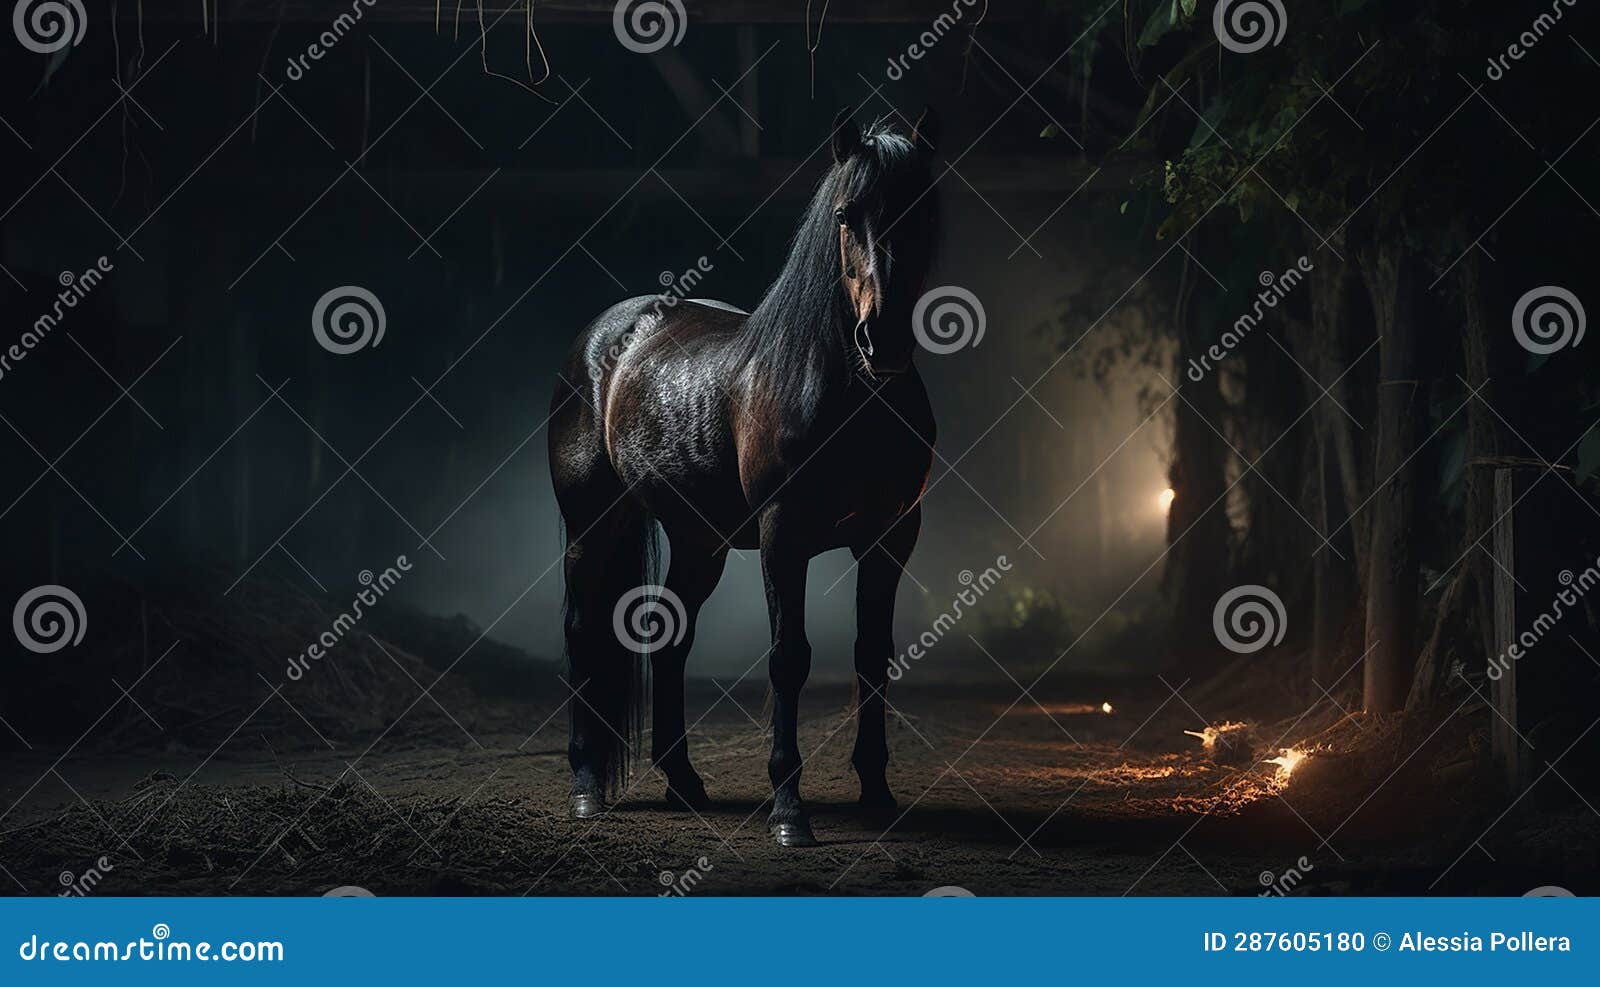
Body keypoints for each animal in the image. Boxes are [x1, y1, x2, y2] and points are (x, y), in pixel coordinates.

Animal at [547, 110, 941, 847]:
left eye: (922, 209)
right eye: (845, 214)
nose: (883, 341)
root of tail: (603, 337)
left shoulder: (892, 537)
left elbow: (872, 656)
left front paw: (876, 791)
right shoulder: (784, 535)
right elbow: (789, 658)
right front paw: (789, 811)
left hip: (698, 543)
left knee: (667, 640)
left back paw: (683, 781)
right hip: (592, 526)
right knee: (583, 629)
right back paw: (586, 784)